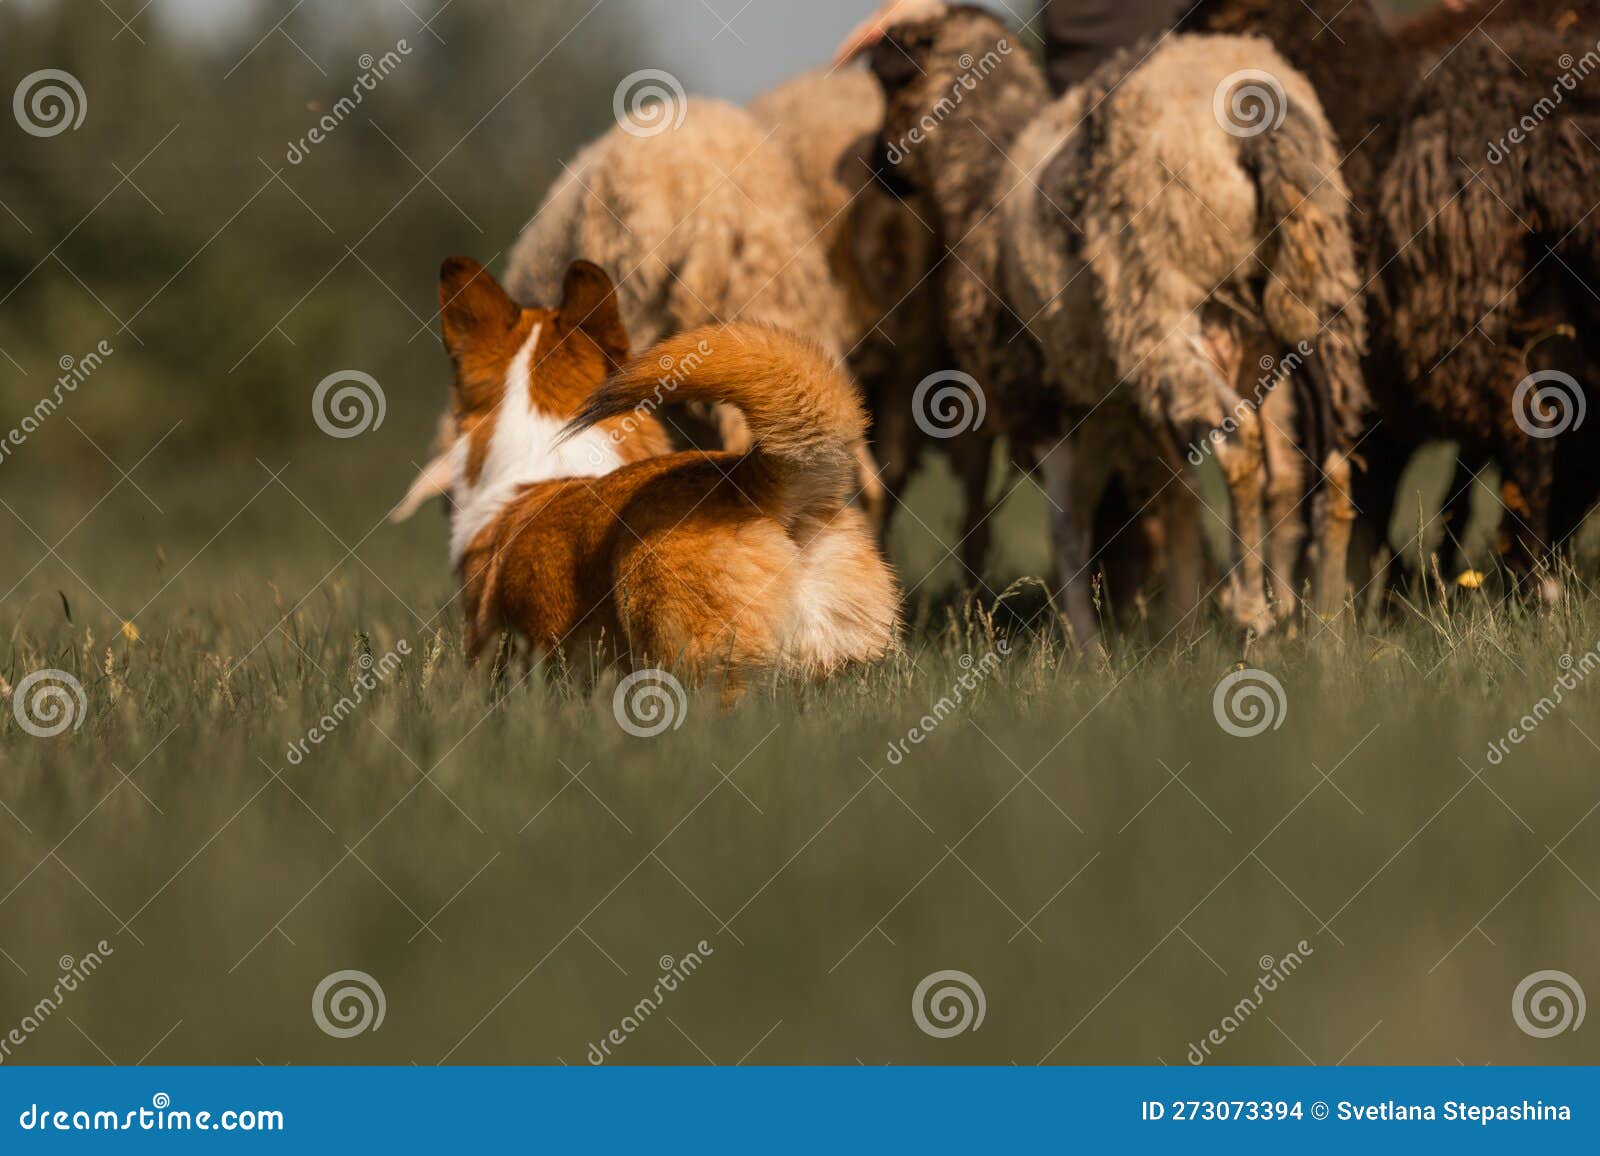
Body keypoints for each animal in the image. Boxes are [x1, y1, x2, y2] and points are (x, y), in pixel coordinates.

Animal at [846, 2, 1368, 640]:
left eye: (889, 82)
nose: (877, 168)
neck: (980, 171)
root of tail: (1257, 119)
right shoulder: (1134, 403)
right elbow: (1184, 498)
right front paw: (1184, 626)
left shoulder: (1041, 398)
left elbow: (1068, 526)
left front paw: (1088, 642)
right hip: (1317, 299)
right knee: (1330, 466)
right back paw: (1326, 633)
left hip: (1160, 306)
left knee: (1240, 445)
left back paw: (1253, 614)